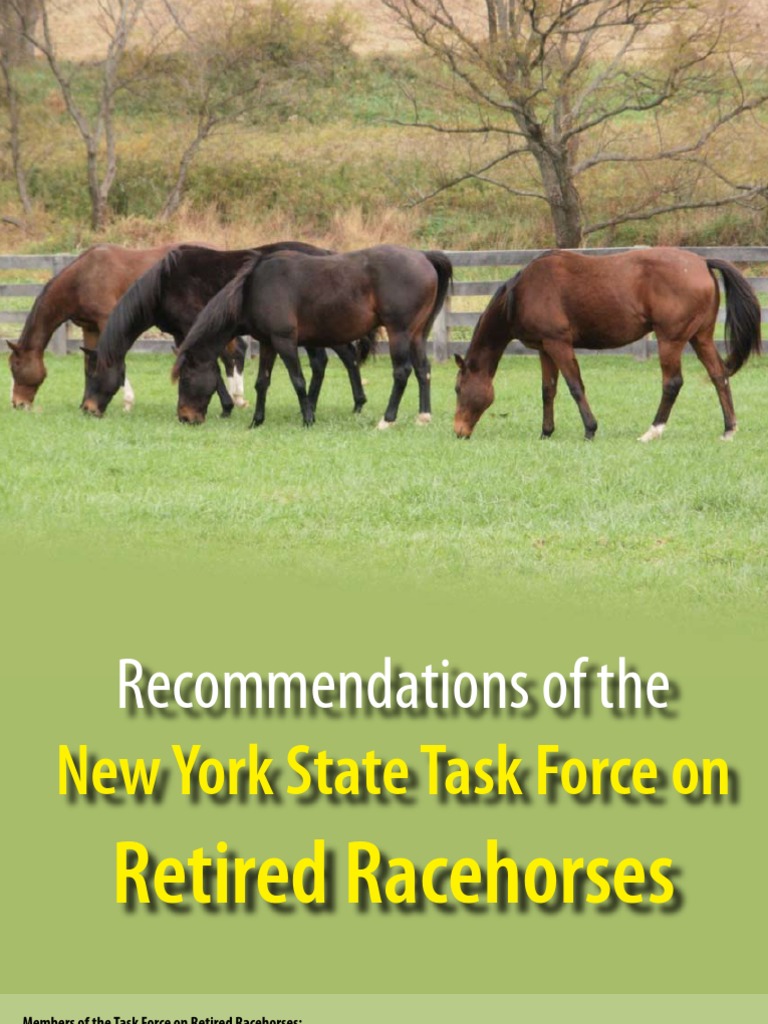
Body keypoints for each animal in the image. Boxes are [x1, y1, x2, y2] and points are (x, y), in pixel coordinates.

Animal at [81, 243, 371, 417]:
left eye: (93, 374)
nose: (87, 408)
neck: (165, 284)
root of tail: (326, 253)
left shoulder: (190, 329)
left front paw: (226, 406)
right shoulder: (184, 333)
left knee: (336, 358)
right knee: (338, 358)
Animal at [170, 245, 453, 428]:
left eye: (186, 379)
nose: (184, 417)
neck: (255, 287)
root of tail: (423, 256)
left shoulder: (285, 342)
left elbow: (298, 380)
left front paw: (307, 418)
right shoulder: (268, 343)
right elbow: (262, 382)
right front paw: (257, 420)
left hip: (399, 332)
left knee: (402, 372)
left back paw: (387, 419)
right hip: (416, 334)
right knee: (423, 369)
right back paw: (423, 416)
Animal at [453, 247, 761, 441]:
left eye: (457, 389)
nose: (458, 431)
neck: (523, 292)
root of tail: (701, 262)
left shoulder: (559, 344)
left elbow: (575, 387)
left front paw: (590, 429)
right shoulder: (545, 349)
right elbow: (548, 390)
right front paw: (546, 432)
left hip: (670, 340)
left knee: (672, 383)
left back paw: (653, 430)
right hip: (701, 338)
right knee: (719, 375)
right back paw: (729, 429)